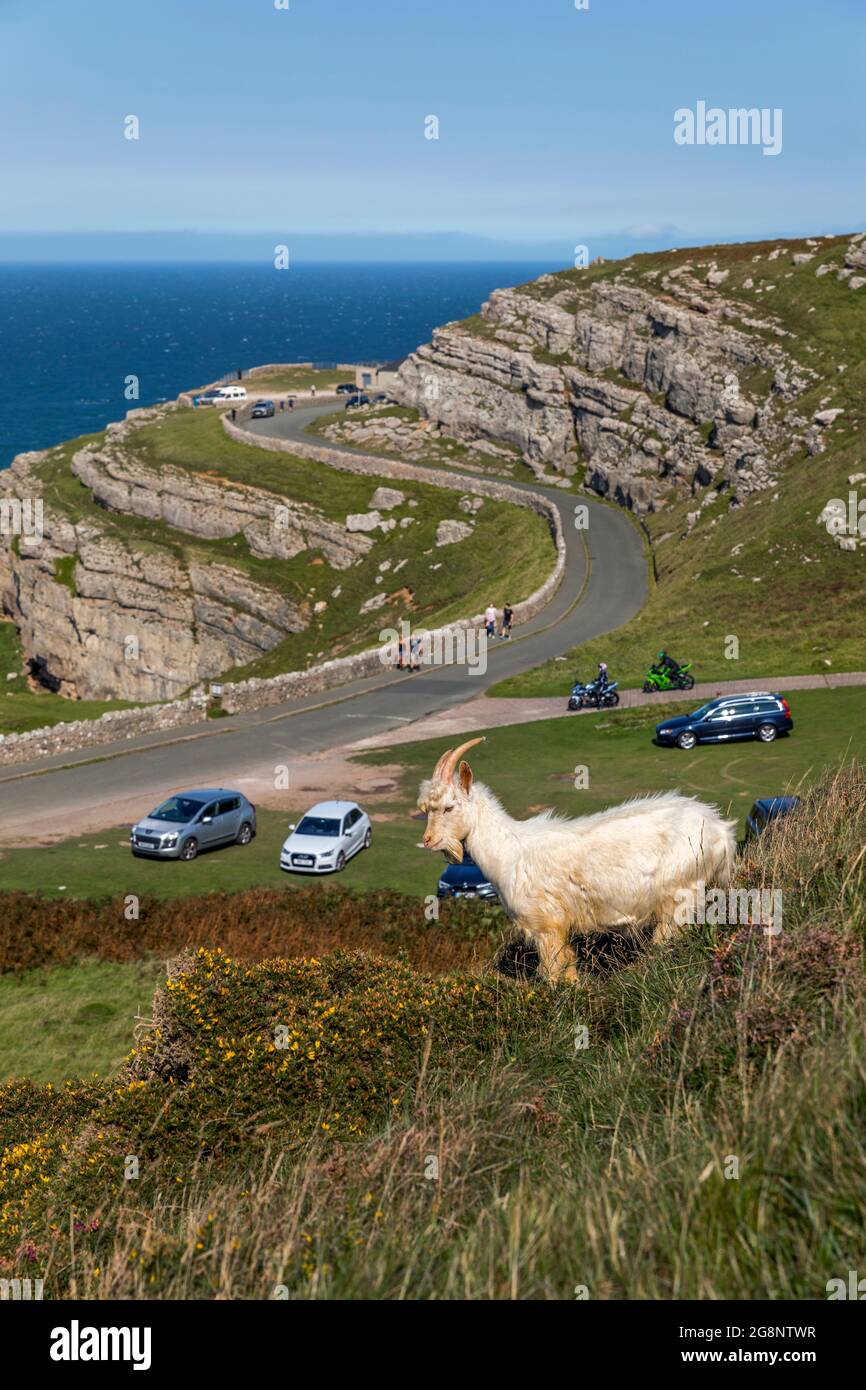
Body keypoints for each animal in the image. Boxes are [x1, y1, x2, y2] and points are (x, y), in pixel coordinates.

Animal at [417, 737, 737, 984]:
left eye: (449, 807)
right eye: (425, 809)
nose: (428, 840)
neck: (510, 851)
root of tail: (720, 829)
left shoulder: (546, 925)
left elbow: (555, 974)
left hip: (680, 891)